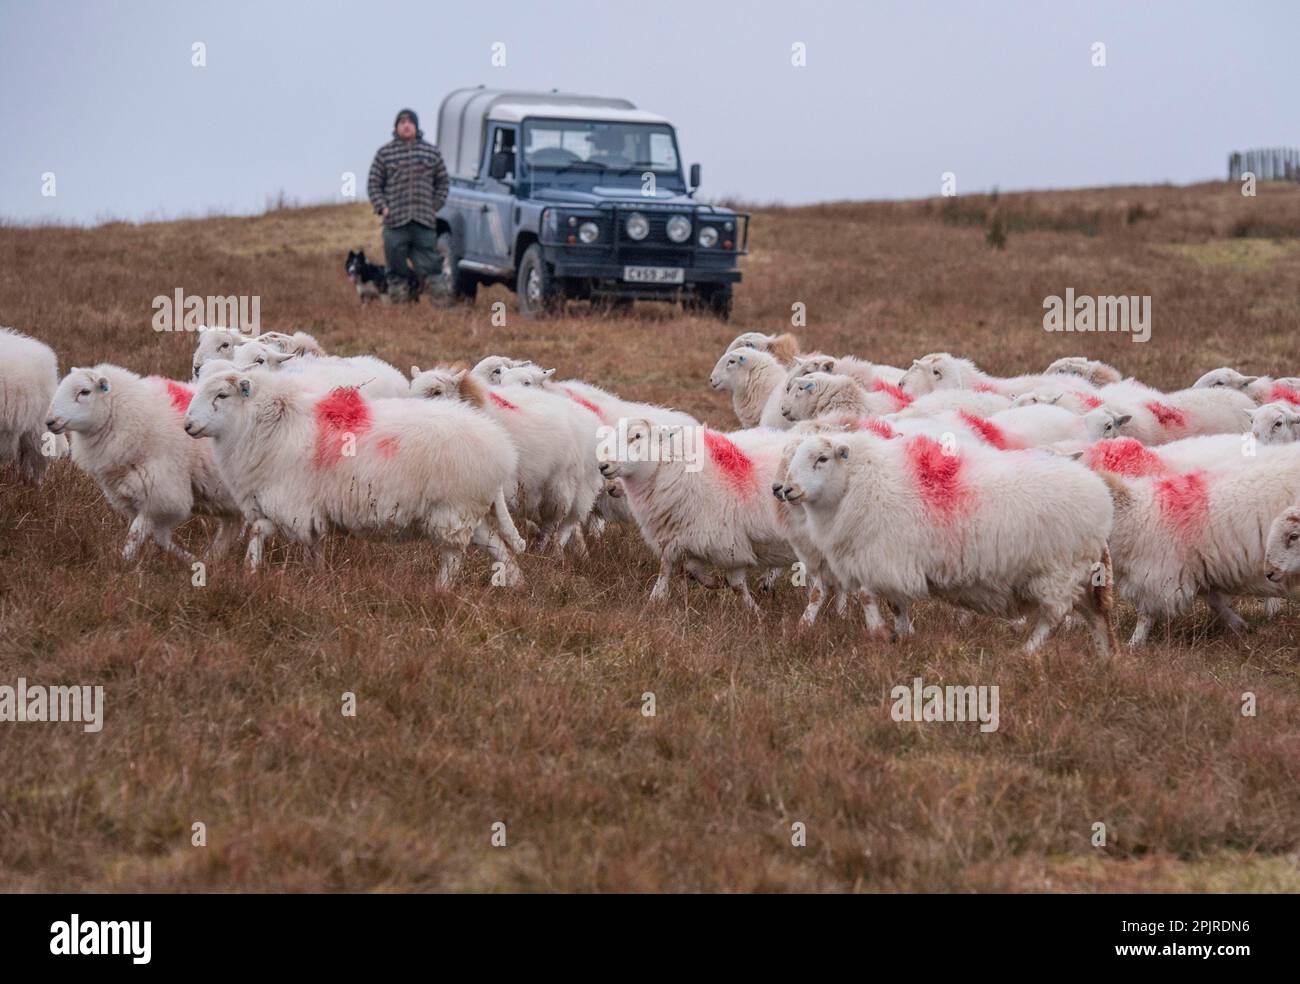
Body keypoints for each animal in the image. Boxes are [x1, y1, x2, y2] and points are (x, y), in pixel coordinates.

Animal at [45, 365, 240, 560]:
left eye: (84, 392)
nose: (49, 421)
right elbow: (159, 538)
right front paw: (191, 559)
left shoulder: (159, 494)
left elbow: (137, 535)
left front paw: (123, 562)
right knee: (230, 529)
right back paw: (214, 559)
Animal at [183, 371, 523, 585]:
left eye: (222, 395)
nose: (188, 425)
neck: (271, 423)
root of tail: (502, 450)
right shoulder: (308, 513)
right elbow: (312, 546)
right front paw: (315, 576)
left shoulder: (292, 507)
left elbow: (257, 530)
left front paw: (250, 570)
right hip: (468, 512)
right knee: (497, 546)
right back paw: (514, 583)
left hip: (452, 510)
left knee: (453, 557)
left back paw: (440, 590)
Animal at [597, 422, 797, 609]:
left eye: (637, 436)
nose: (603, 466)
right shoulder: (684, 534)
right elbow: (679, 567)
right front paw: (658, 597)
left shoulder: (730, 542)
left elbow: (736, 584)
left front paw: (753, 611)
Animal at [777, 432, 1116, 655]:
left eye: (822, 459)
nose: (786, 490)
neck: (858, 483)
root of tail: (1102, 496)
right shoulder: (889, 562)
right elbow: (894, 603)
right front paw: (902, 635)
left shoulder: (885, 557)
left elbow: (867, 596)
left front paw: (880, 633)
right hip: (1080, 576)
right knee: (1097, 617)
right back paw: (1104, 658)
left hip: (1059, 571)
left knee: (1054, 616)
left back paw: (1026, 652)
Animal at [1098, 443, 1300, 644]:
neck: (1136, 513)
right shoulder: (1196, 567)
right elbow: (1214, 601)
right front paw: (1239, 626)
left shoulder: (1159, 573)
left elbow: (1145, 615)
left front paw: (1134, 644)